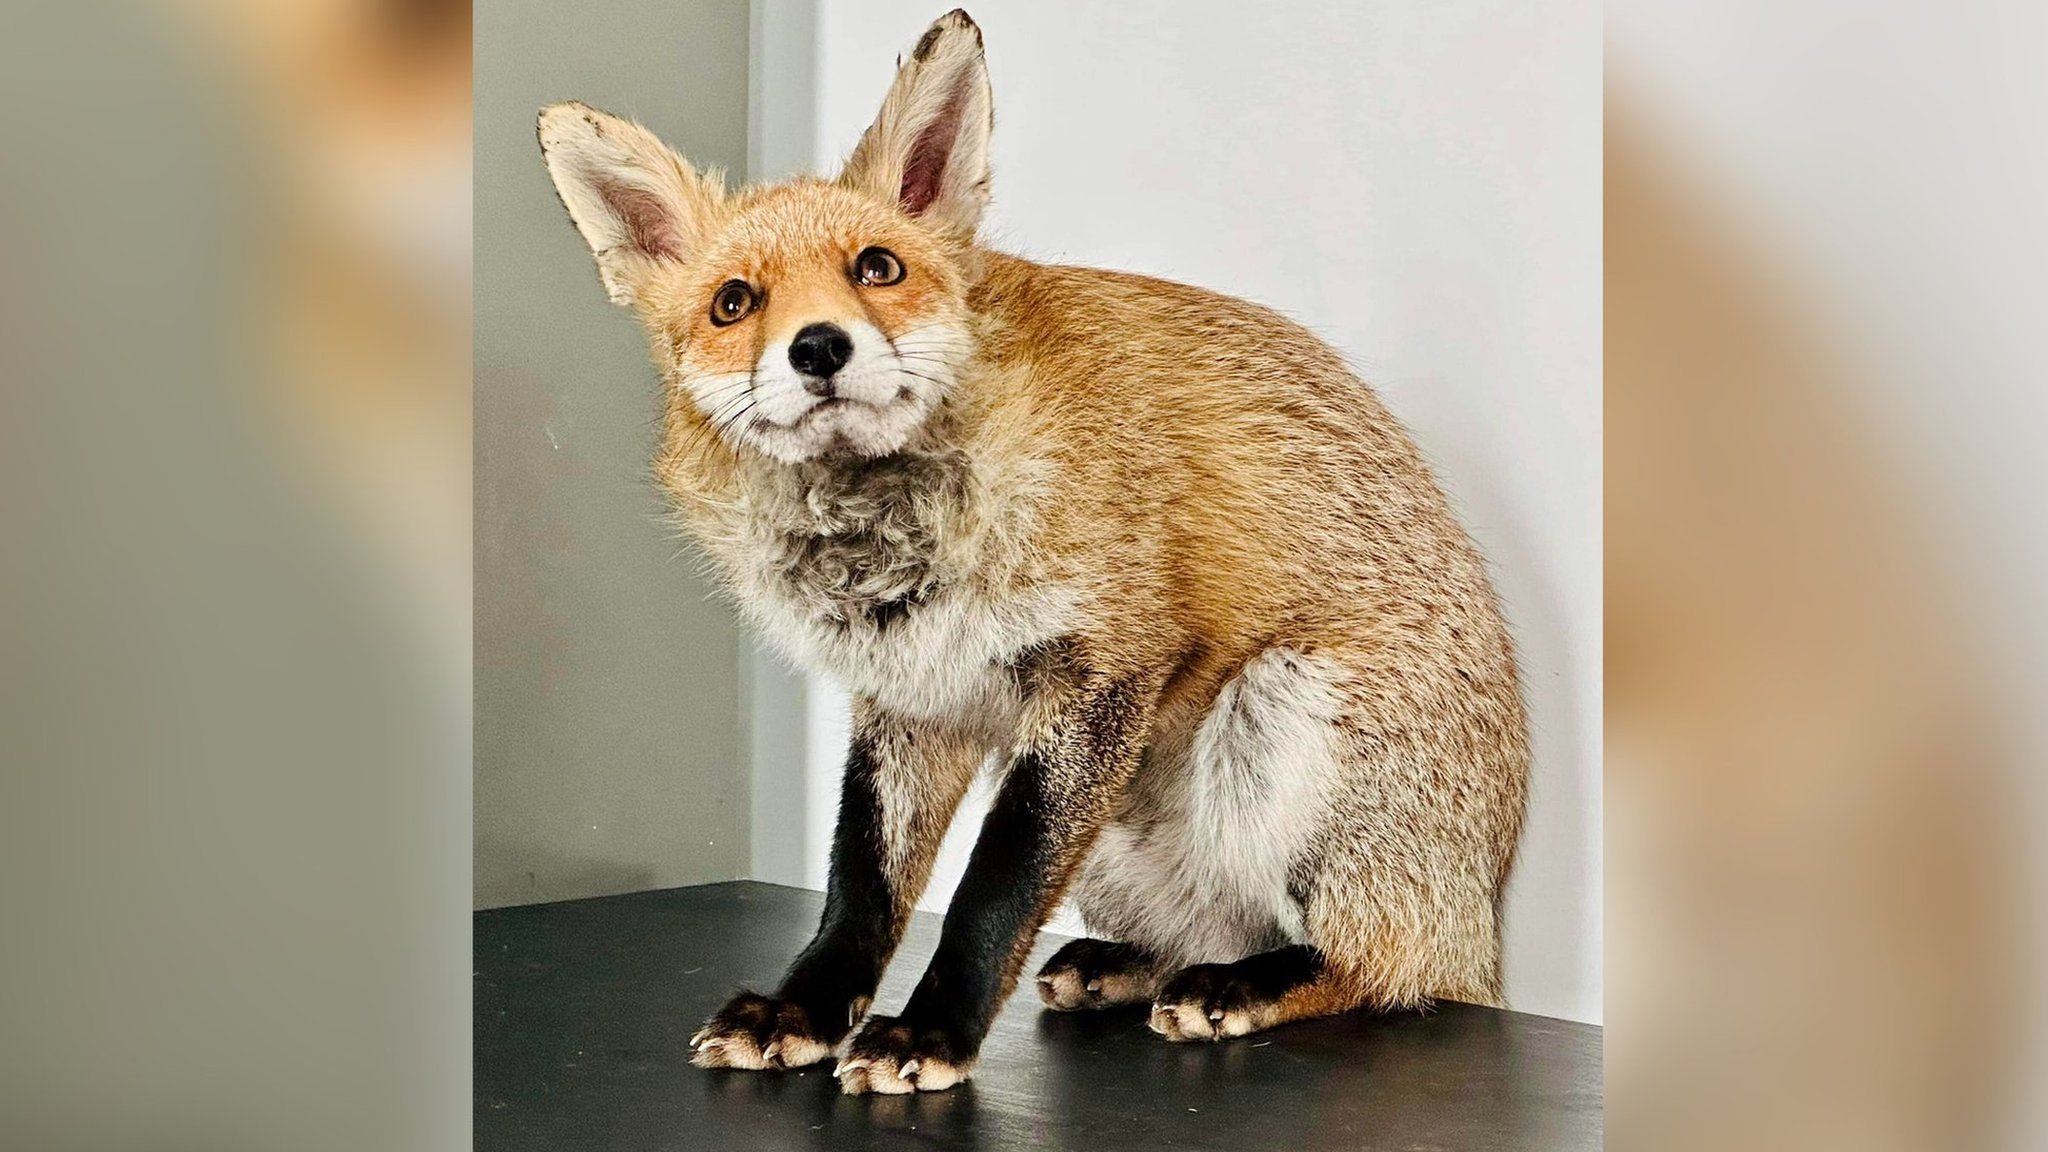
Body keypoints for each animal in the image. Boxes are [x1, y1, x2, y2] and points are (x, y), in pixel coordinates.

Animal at [537, 9, 1528, 1096]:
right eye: (733, 303)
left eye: (876, 267)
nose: (818, 347)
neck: (891, 549)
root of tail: (1485, 906)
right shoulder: (909, 702)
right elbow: (859, 884)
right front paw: (802, 1010)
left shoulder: (1098, 676)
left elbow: (990, 890)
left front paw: (929, 1033)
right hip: (1124, 835)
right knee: (1209, 929)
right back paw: (1133, 963)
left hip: (1276, 716)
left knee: (1388, 966)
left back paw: (1247, 984)